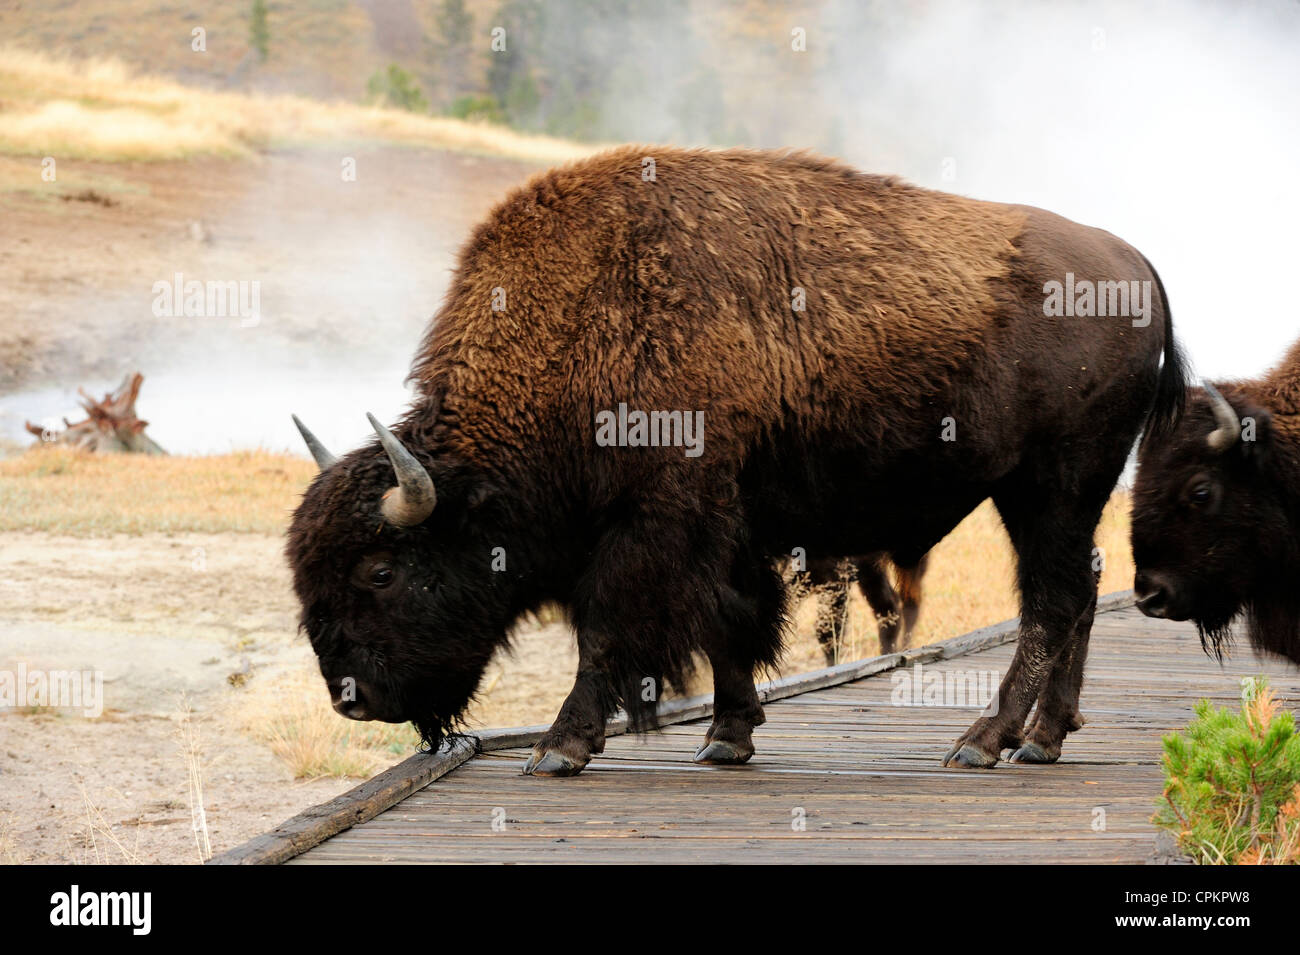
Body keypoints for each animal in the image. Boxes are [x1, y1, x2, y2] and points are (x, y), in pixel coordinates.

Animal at [287, 146, 1185, 775]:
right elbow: (730, 623)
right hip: (1055, 496)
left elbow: (610, 631)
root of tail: (1135, 263)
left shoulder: (655, 524)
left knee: (1051, 600)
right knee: (1078, 591)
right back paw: (1043, 738)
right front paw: (726, 735)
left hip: (1053, 483)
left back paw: (983, 741)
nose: (353, 698)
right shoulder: (728, 526)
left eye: (380, 571)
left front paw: (560, 746)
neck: (582, 324)